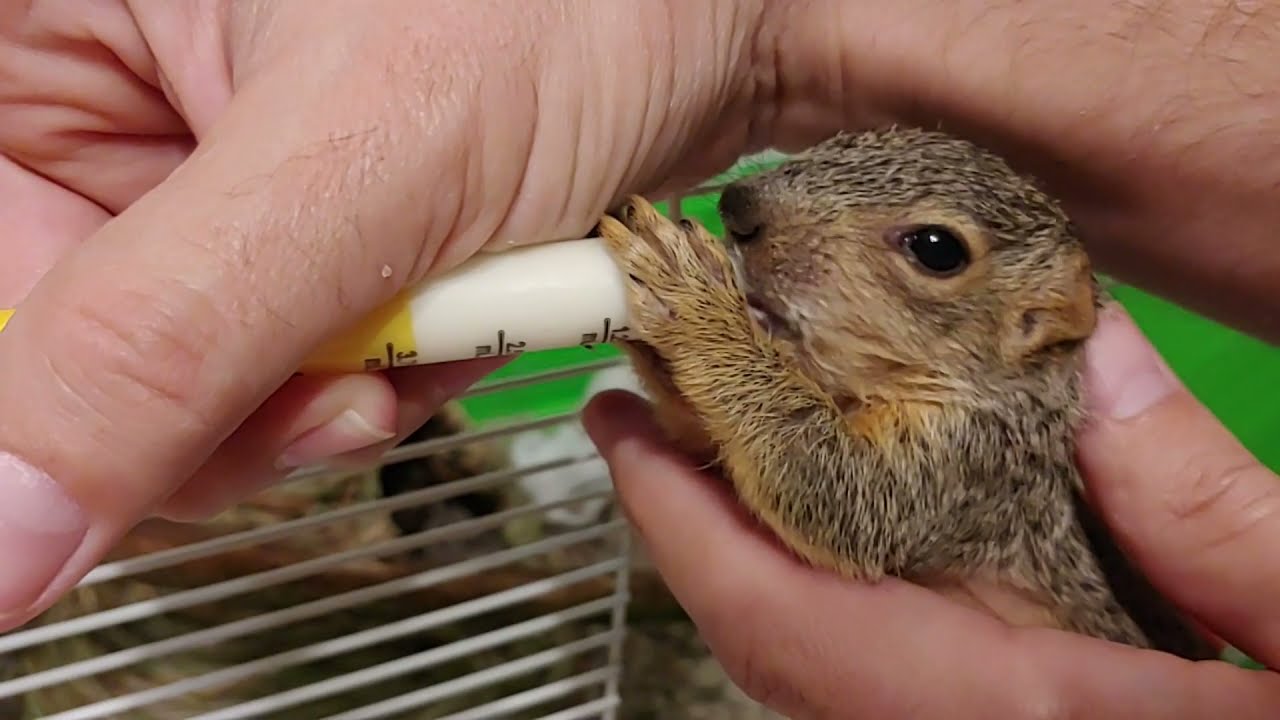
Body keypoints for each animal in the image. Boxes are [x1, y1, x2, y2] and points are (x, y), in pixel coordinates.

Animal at [594, 126, 1217, 660]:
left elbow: (838, 489)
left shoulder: (970, 463)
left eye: (937, 249)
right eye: (847, 137)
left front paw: (697, 299)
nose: (737, 205)